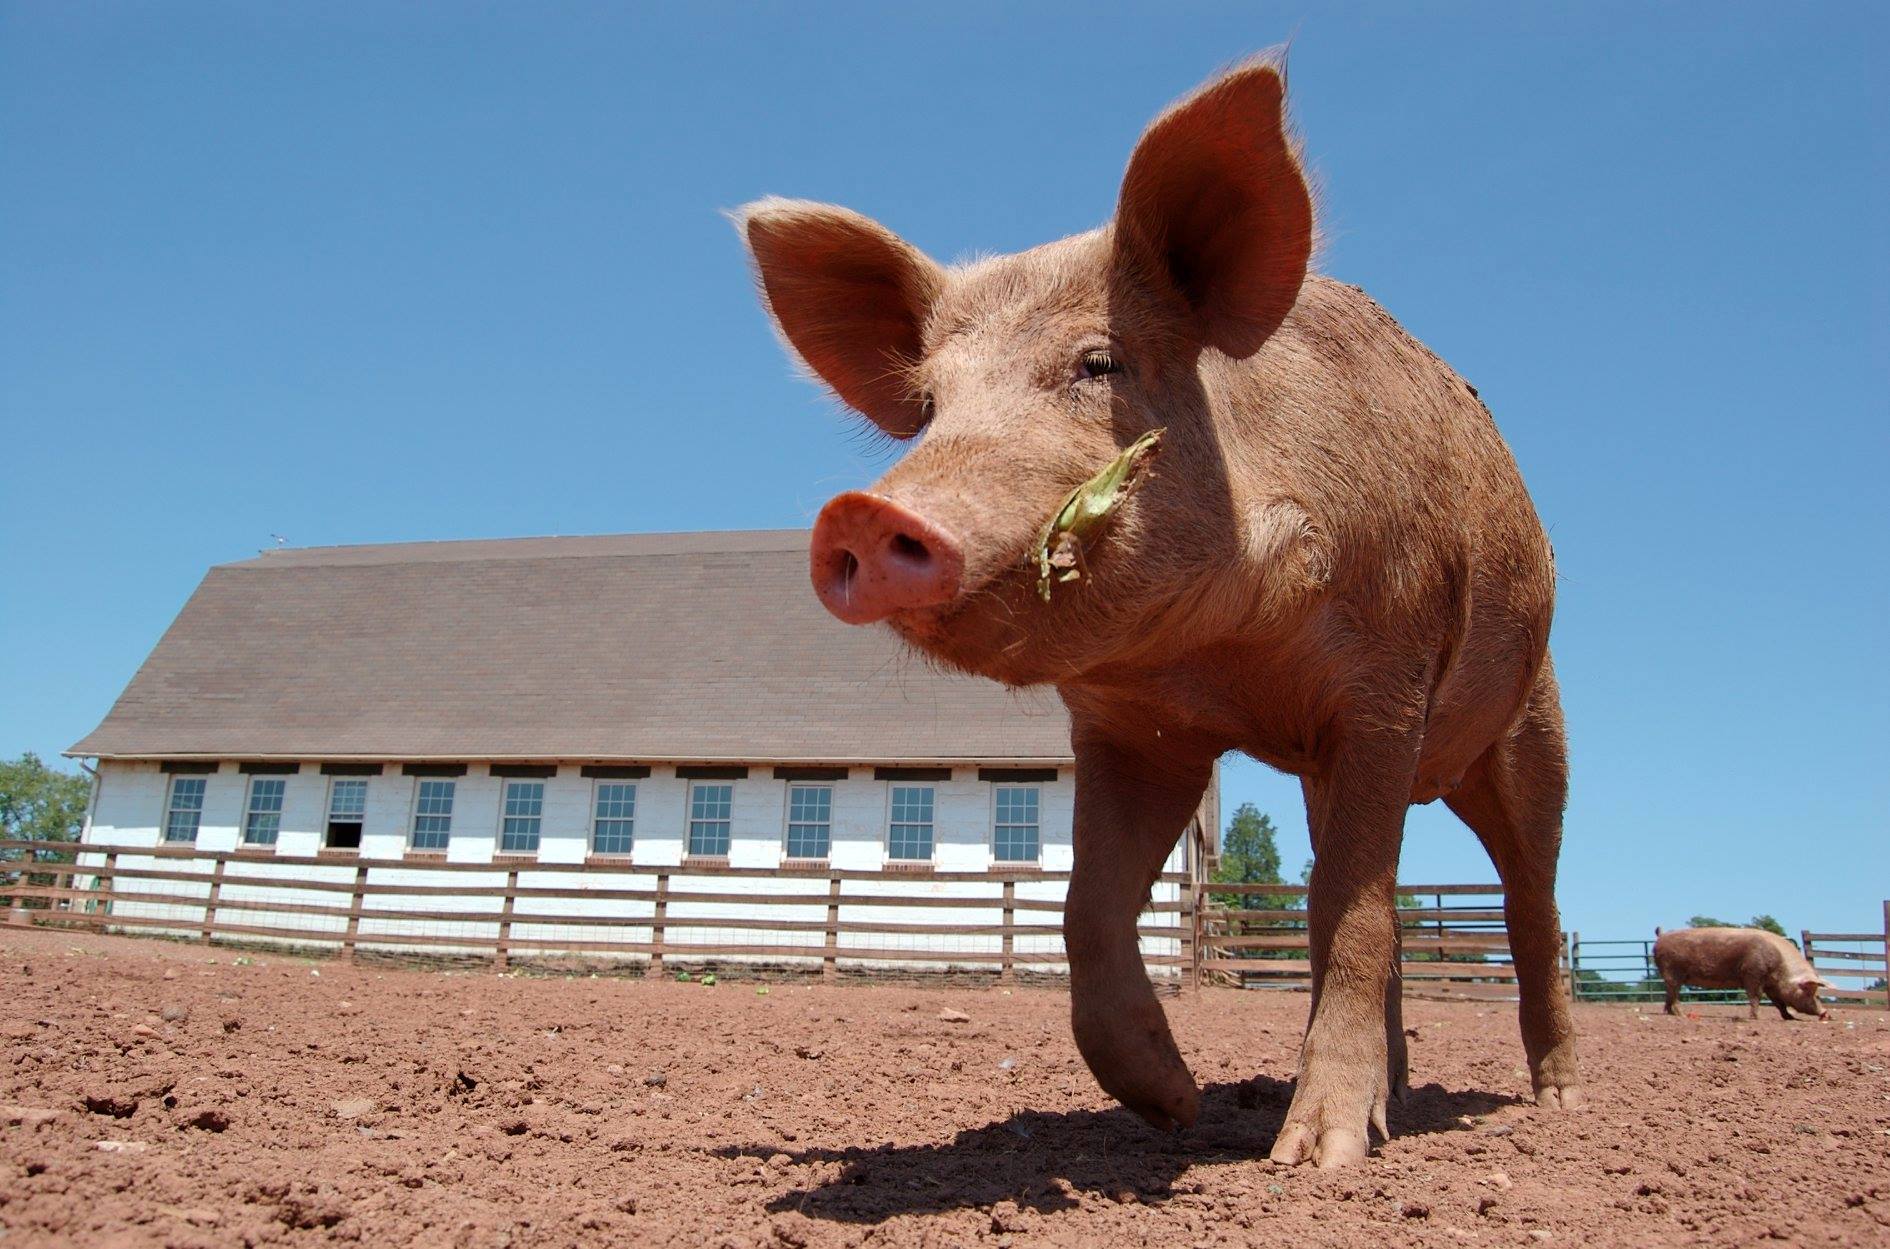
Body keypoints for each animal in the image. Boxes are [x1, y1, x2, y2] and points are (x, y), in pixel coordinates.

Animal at [737, 51, 1581, 1168]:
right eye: (928, 407)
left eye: (1100, 362)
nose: (862, 514)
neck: (1219, 653)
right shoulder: (1137, 728)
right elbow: (1088, 907)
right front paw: (1174, 1106)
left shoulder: (1387, 684)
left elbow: (1356, 911)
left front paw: (1312, 1159)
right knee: (1365, 894)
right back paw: (1392, 1096)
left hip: (1531, 724)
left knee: (1528, 899)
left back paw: (1556, 1101)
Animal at [1652, 926, 1830, 1021]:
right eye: (1815, 994)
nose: (1825, 1013)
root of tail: (1662, 936)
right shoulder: (1752, 974)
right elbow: (1755, 996)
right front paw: (1755, 1018)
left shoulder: (1771, 985)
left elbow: (1779, 1002)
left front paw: (1791, 1018)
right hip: (1672, 971)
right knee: (1674, 995)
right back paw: (1681, 1015)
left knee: (1669, 994)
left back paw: (1669, 1013)